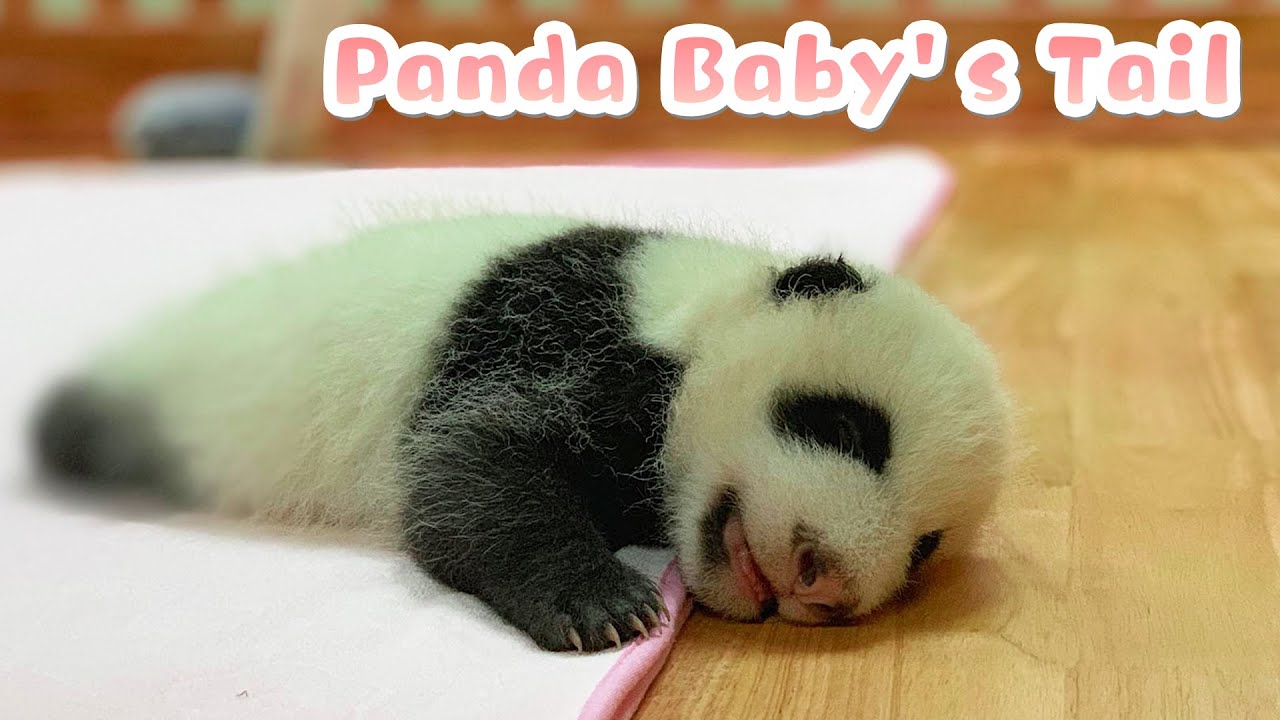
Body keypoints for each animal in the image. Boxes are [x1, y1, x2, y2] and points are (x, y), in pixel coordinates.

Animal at [31, 214, 1014, 653]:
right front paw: (605, 605)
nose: (825, 577)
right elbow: (468, 461)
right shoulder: (563, 327)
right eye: (848, 428)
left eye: (924, 548)